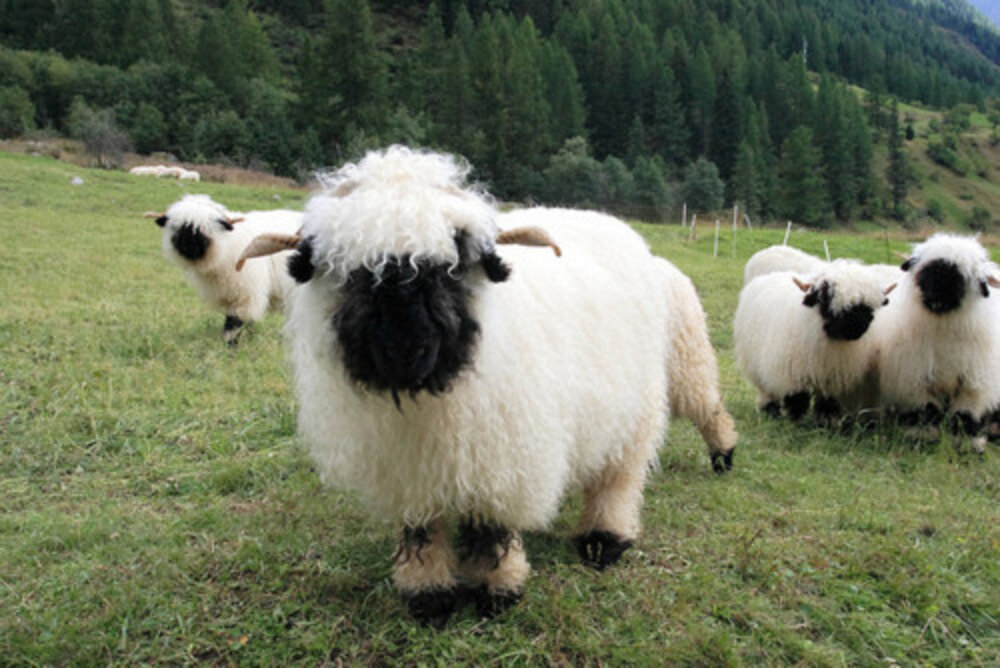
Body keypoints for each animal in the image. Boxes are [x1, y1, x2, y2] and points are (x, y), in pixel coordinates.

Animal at [148, 194, 301, 344]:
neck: (226, 247)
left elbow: (234, 322)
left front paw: (231, 344)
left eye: (204, 229)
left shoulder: (245, 293)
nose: (189, 246)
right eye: (178, 228)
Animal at [239, 146, 672, 623]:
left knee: (620, 475)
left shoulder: (502, 458)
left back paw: (604, 539)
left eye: (452, 266)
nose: (404, 349)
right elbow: (422, 530)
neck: (429, 395)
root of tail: (599, 217)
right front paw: (428, 594)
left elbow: (491, 527)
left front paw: (497, 588)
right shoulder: (411, 470)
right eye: (351, 272)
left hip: (638, 407)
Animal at [734, 260, 896, 423]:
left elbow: (827, 402)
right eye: (826, 297)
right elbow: (797, 399)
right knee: (766, 390)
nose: (856, 328)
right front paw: (795, 422)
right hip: (755, 364)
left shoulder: (832, 377)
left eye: (868, 308)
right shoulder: (791, 375)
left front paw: (825, 422)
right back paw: (770, 410)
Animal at [871, 233, 1000, 451]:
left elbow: (964, 415)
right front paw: (922, 436)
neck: (943, 329)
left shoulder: (974, 384)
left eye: (960, 279)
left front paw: (968, 443)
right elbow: (927, 410)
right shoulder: (914, 378)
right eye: (927, 272)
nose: (936, 298)